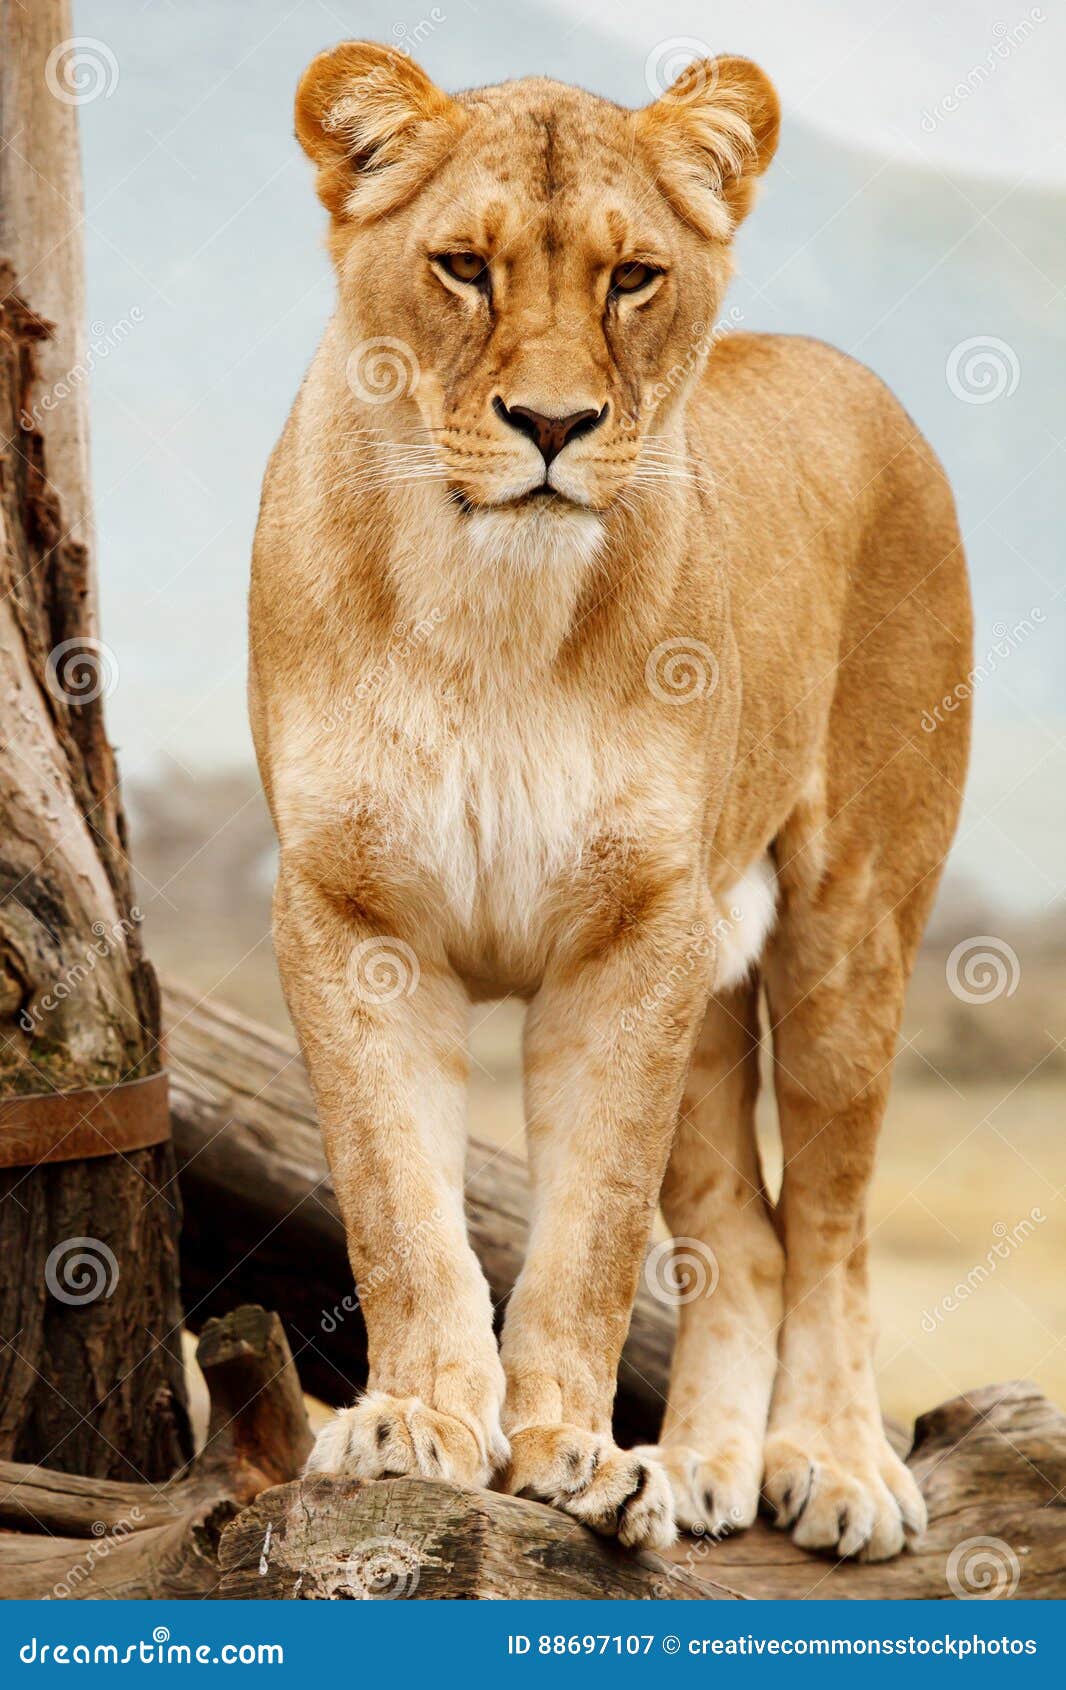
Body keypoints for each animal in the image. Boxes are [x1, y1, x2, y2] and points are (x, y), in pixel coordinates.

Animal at [249, 42, 972, 1562]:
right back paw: (697, 1467)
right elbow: (399, 1205)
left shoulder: (634, 929)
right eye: (462, 267)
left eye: (633, 277)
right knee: (743, 1232)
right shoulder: (348, 911)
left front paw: (569, 1454)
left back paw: (832, 1465)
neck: (490, 608)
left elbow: (587, 1230)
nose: (551, 424)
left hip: (845, 929)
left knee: (828, 1220)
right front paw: (416, 1420)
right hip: (711, 974)